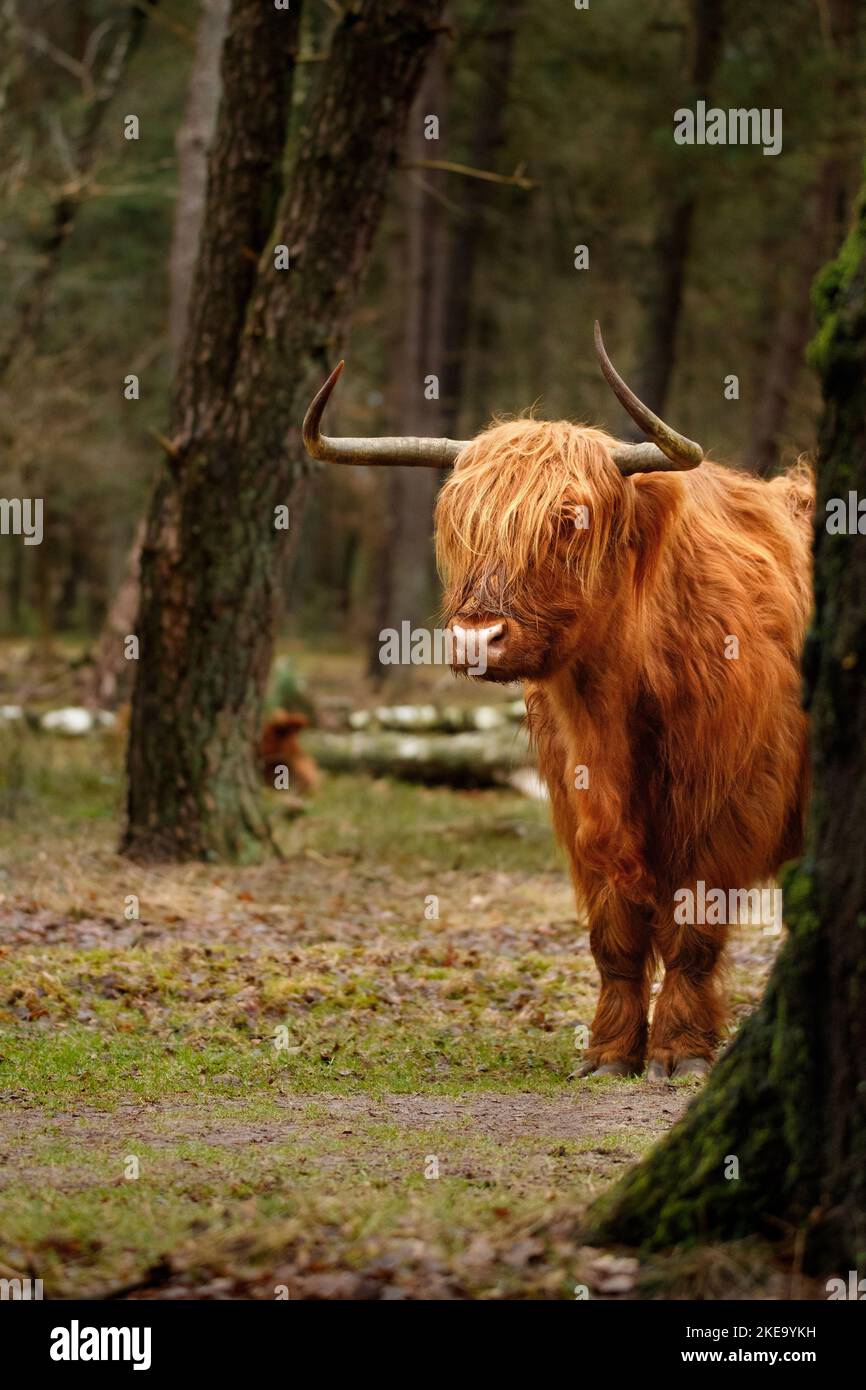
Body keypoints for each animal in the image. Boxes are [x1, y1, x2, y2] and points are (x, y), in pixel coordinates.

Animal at [302, 325, 813, 1080]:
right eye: (459, 522)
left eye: (571, 519)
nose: (476, 636)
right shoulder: (581, 812)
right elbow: (614, 937)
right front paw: (609, 1051)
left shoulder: (725, 807)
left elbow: (692, 933)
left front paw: (681, 1051)